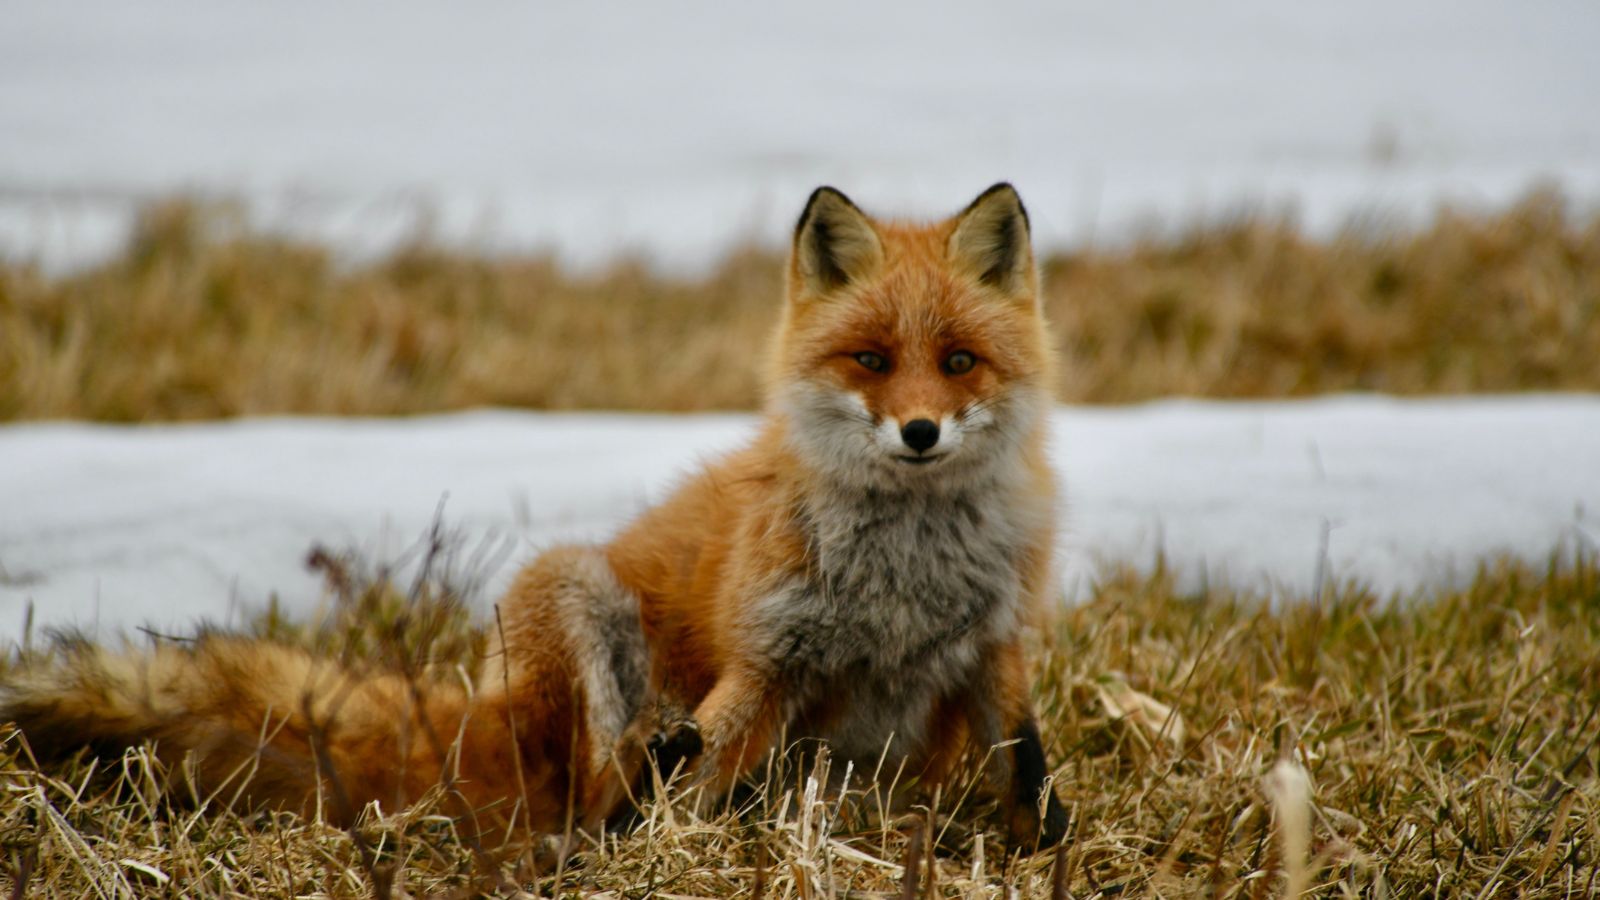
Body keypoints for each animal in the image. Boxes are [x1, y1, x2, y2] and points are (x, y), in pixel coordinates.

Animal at [1, 183, 1070, 849]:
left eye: (960, 362)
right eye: (872, 361)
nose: (921, 432)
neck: (903, 577)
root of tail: (486, 709)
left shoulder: (997, 639)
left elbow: (1027, 764)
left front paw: (1041, 849)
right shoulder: (768, 662)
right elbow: (689, 781)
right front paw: (658, 850)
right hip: (574, 589)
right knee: (593, 788)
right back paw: (592, 827)